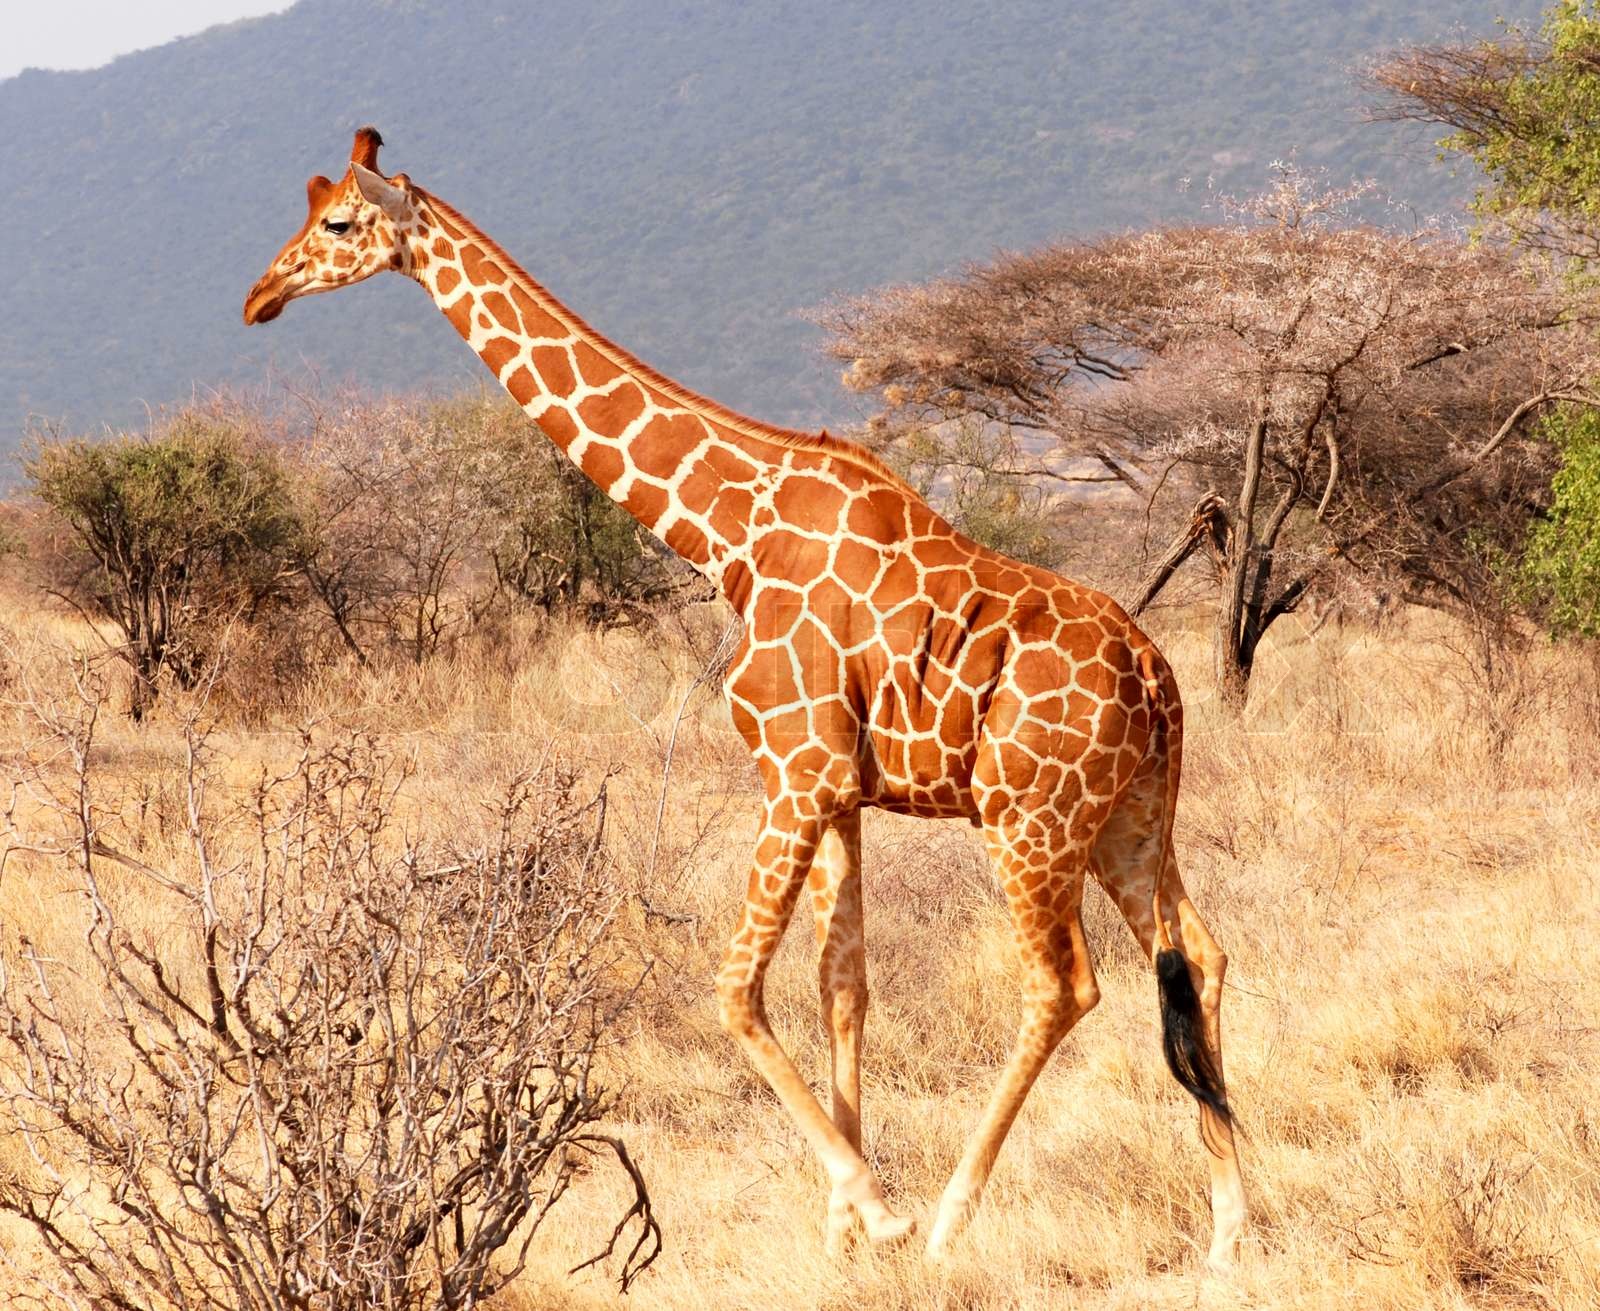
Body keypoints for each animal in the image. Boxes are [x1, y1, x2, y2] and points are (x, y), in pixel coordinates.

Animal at [245, 128, 1249, 1269]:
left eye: (336, 222)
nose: (259, 297)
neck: (727, 530)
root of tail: (1159, 679)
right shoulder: (843, 792)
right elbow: (842, 986)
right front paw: (842, 1232)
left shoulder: (795, 773)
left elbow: (733, 990)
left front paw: (878, 1209)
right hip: (1129, 816)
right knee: (1198, 955)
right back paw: (1230, 1230)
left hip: (1028, 817)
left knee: (1063, 985)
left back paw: (954, 1215)